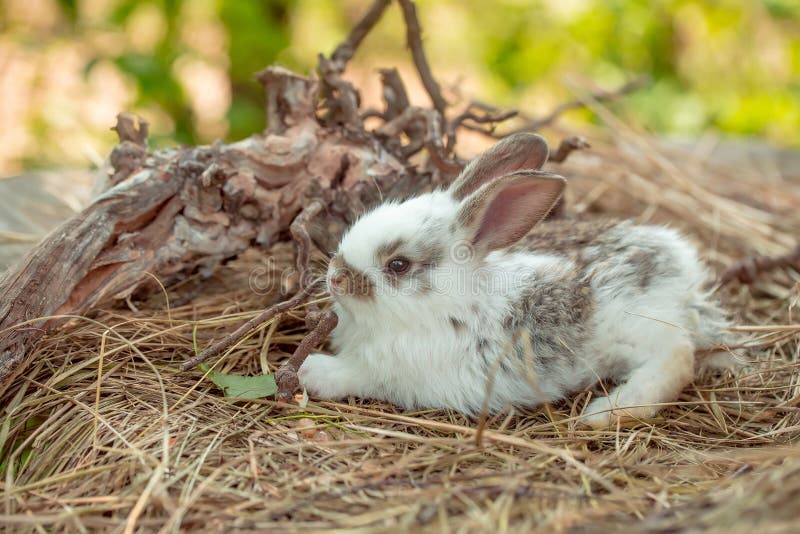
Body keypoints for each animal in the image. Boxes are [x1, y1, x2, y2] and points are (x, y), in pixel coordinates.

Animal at [297, 133, 738, 428]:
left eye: (399, 265)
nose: (335, 278)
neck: (447, 306)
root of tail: (683, 270)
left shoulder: (398, 373)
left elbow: (356, 374)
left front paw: (311, 372)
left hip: (637, 330)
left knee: (677, 357)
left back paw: (603, 412)